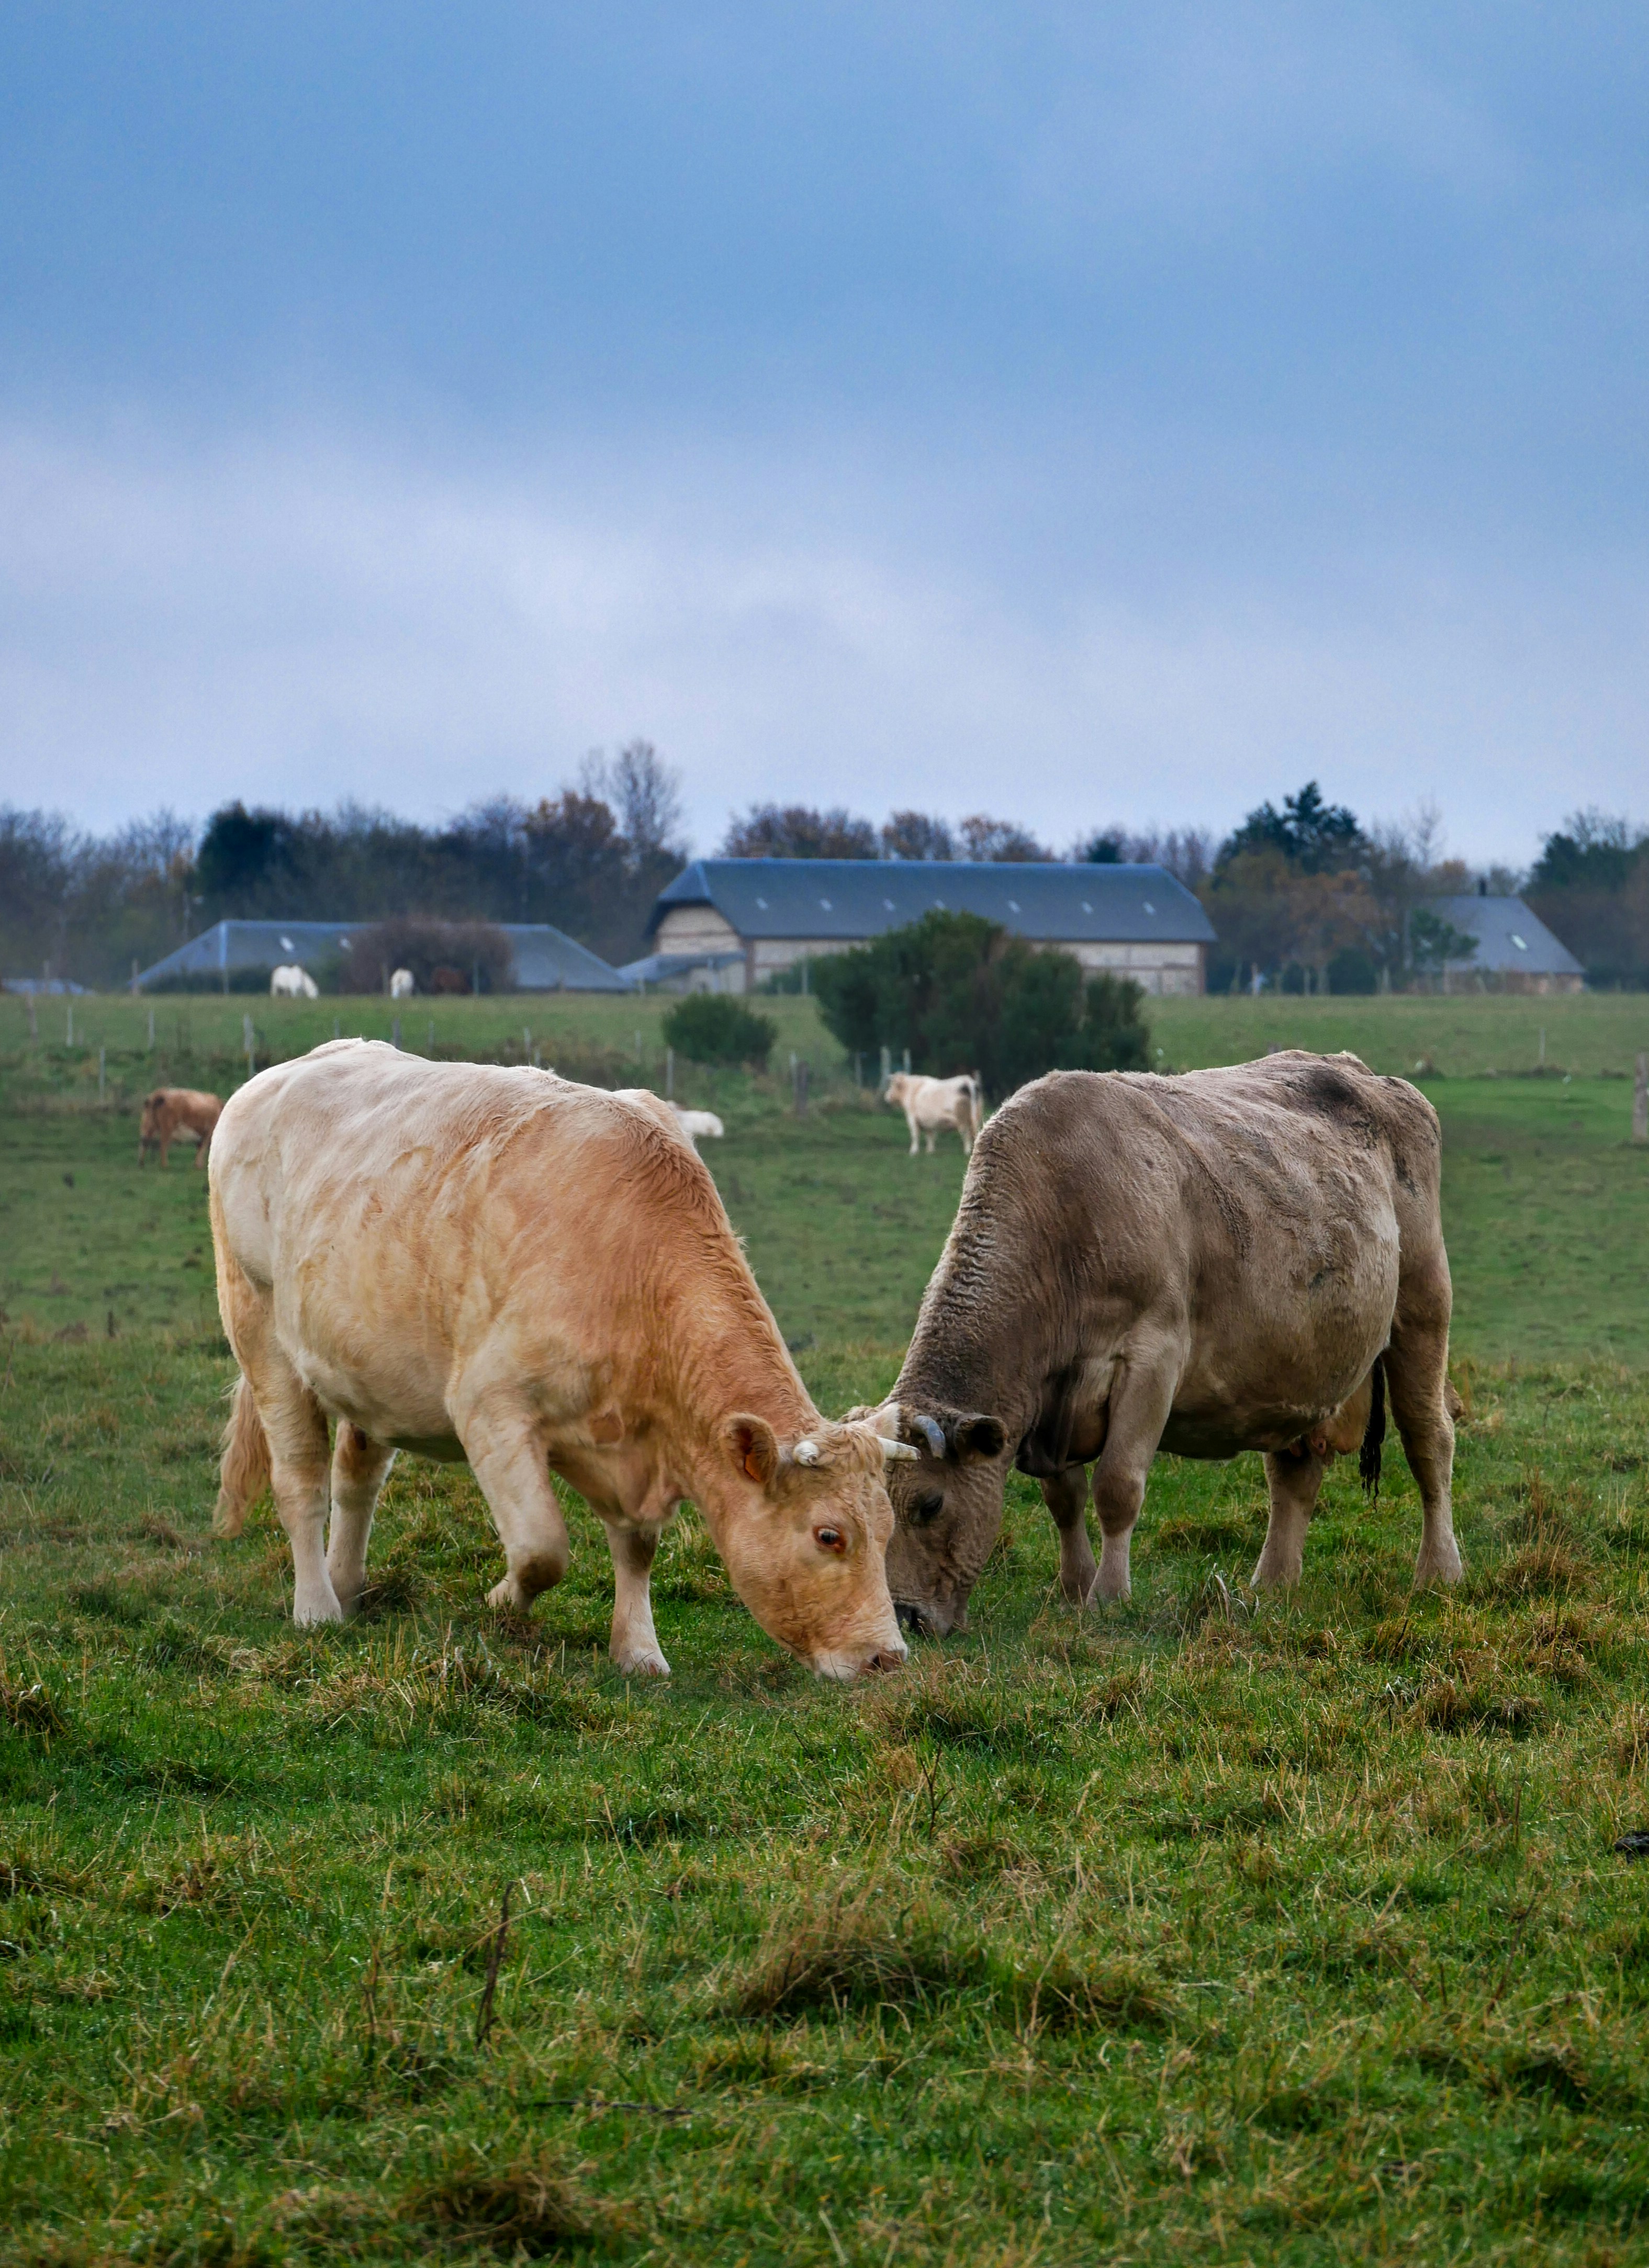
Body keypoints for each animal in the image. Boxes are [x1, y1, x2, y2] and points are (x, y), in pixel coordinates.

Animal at [138, 1087, 223, 1169]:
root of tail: (159, 1092)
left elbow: (200, 1147)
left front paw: (198, 1165)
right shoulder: (209, 1131)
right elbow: (202, 1147)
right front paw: (199, 1165)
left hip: (147, 1125)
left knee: (144, 1142)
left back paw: (142, 1164)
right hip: (167, 1127)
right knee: (163, 1145)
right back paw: (165, 1165)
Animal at [207, 1042, 912, 1679]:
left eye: (888, 1529)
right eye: (829, 1535)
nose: (887, 1657)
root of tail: (280, 1073)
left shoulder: (634, 1446)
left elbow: (637, 1546)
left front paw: (638, 1650)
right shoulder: (491, 1409)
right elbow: (543, 1548)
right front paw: (500, 1601)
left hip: (366, 1365)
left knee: (357, 1475)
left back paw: (346, 1582)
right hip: (259, 1328)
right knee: (300, 1479)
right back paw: (316, 1606)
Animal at [884, 1072, 982, 1156]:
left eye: (892, 1085)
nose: (887, 1097)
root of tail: (966, 1080)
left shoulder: (912, 1118)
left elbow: (915, 1135)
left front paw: (913, 1152)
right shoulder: (929, 1121)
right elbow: (930, 1135)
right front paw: (930, 1151)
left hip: (962, 1120)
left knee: (966, 1134)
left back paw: (967, 1151)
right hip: (975, 1117)